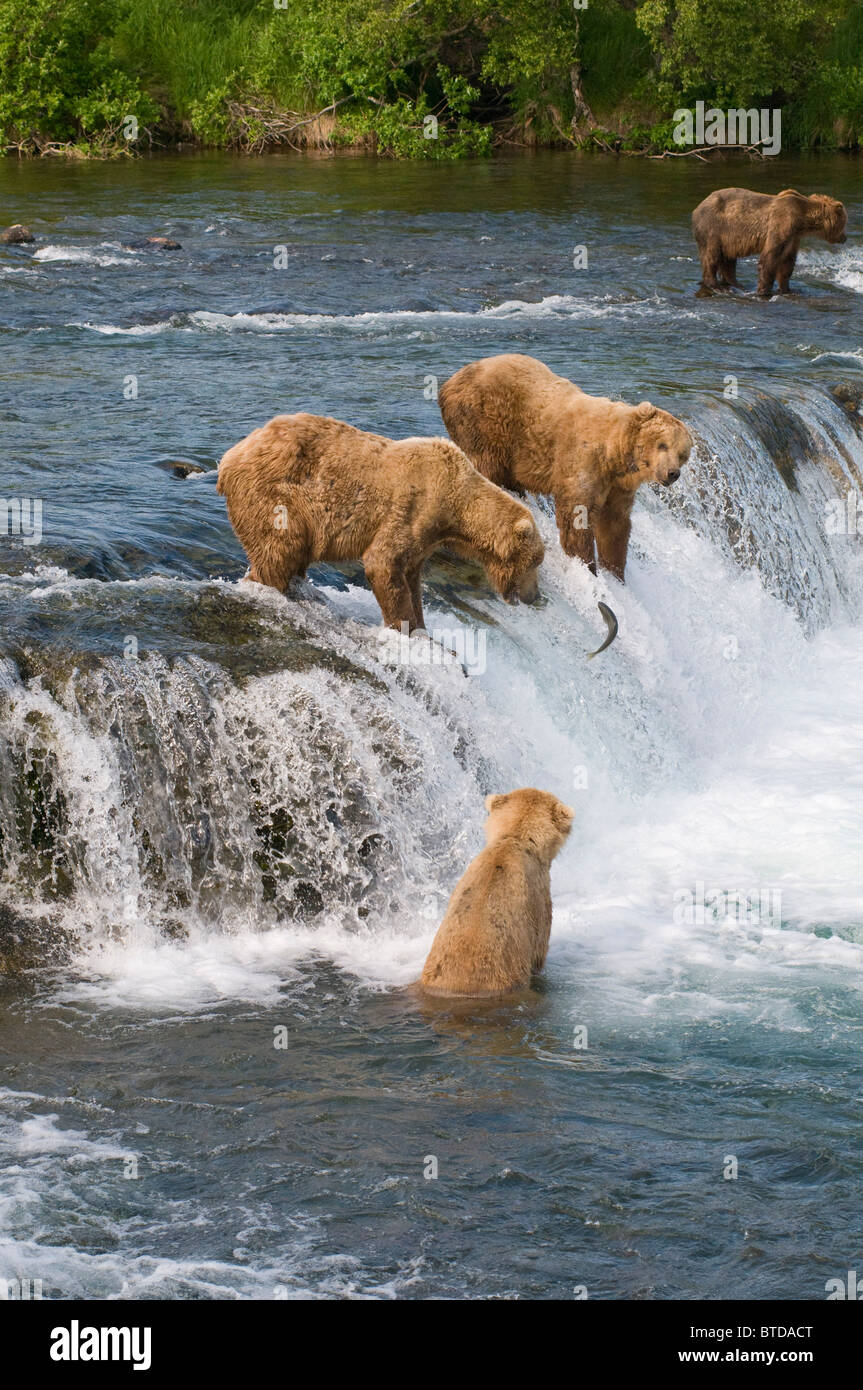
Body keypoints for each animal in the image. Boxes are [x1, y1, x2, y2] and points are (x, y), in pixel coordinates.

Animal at [217, 412, 544, 631]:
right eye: (534, 563)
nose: (535, 597)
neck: (456, 508)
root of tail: (229, 457)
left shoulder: (427, 538)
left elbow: (410, 576)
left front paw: (421, 627)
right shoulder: (413, 508)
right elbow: (383, 563)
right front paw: (407, 630)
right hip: (277, 495)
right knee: (280, 548)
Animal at [438, 353, 691, 581]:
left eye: (682, 454)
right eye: (662, 444)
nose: (672, 473)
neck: (613, 453)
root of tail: (449, 382)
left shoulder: (618, 486)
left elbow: (615, 525)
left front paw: (615, 571)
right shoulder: (584, 461)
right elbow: (576, 516)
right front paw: (588, 567)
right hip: (483, 422)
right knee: (488, 466)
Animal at [691, 187, 847, 297]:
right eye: (844, 223)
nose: (844, 238)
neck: (803, 220)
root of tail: (696, 208)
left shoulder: (793, 237)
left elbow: (787, 263)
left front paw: (787, 289)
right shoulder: (781, 223)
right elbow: (769, 258)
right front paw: (764, 291)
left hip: (728, 239)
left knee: (728, 260)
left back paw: (735, 284)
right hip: (714, 227)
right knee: (711, 256)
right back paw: (715, 285)